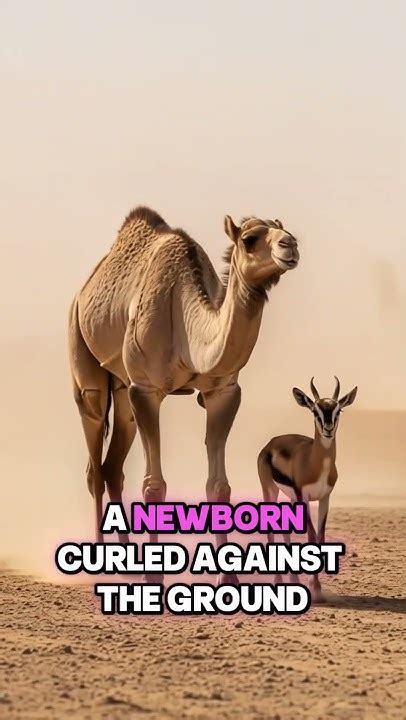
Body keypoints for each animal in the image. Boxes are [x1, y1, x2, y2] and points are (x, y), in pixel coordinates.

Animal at [68, 206, 299, 584]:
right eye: (250, 239)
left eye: (286, 230)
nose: (290, 245)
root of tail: (82, 290)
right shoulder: (146, 389)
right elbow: (154, 487)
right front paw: (154, 579)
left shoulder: (224, 391)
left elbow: (219, 487)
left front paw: (228, 580)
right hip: (84, 358)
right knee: (94, 461)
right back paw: (98, 568)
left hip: (123, 390)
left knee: (113, 466)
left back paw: (123, 564)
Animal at [257, 377, 357, 600]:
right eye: (314, 410)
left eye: (338, 410)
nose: (328, 429)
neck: (315, 464)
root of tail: (272, 442)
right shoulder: (304, 496)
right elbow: (311, 536)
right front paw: (316, 588)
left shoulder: (325, 498)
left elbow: (320, 537)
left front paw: (316, 587)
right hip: (270, 490)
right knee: (270, 530)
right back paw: (278, 582)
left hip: (291, 499)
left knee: (285, 528)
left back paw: (293, 581)